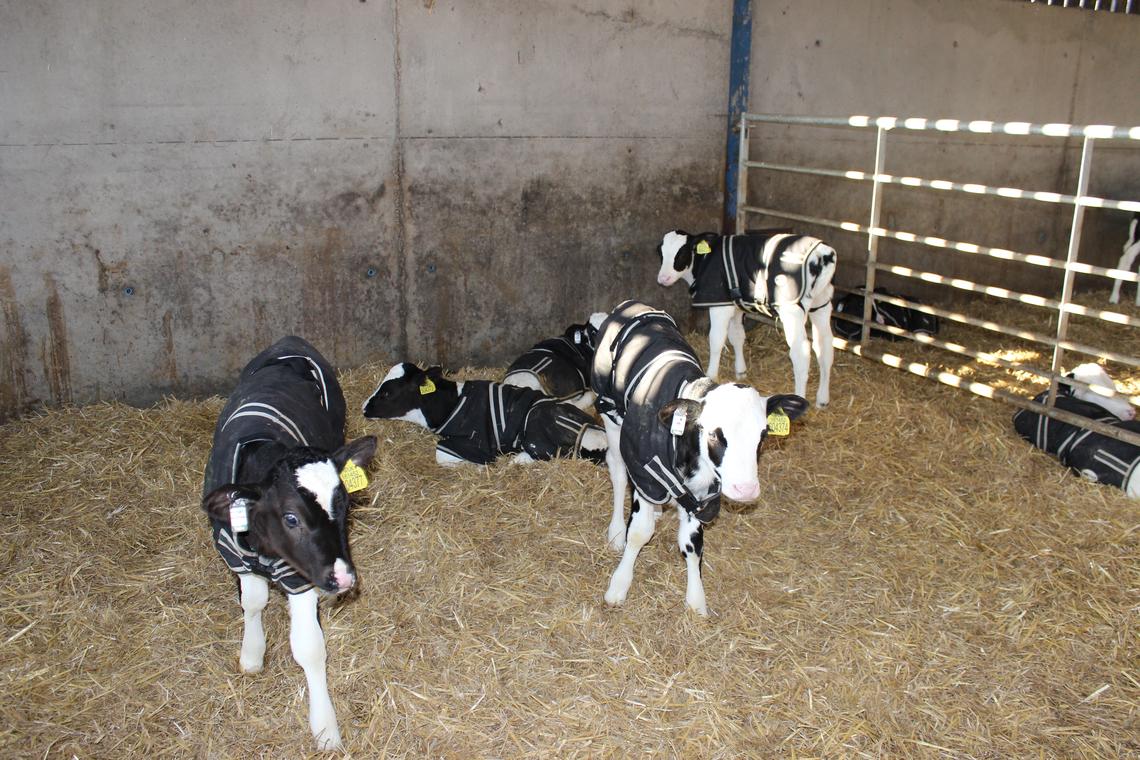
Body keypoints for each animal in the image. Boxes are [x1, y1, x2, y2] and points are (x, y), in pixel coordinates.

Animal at [201, 336, 377, 750]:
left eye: (345, 506)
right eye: (291, 518)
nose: (344, 578)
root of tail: (289, 346)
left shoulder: (300, 577)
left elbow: (309, 646)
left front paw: (325, 727)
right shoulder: (234, 555)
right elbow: (252, 601)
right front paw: (252, 652)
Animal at [362, 362, 607, 466]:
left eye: (386, 393)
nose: (364, 408)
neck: (452, 402)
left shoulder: (475, 443)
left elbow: (442, 455)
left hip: (537, 428)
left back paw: (518, 459)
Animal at [591, 300, 808, 615]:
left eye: (763, 434)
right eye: (714, 433)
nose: (746, 490)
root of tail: (632, 306)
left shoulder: (702, 495)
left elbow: (692, 544)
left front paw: (696, 600)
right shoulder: (645, 473)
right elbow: (640, 532)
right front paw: (619, 584)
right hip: (611, 415)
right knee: (617, 472)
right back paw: (617, 530)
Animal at [657, 230, 837, 408]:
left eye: (682, 253)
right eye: (661, 253)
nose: (662, 279)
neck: (705, 260)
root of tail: (821, 253)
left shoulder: (720, 305)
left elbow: (716, 340)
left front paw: (711, 375)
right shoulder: (734, 304)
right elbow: (736, 336)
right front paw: (741, 371)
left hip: (791, 308)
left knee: (801, 353)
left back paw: (799, 397)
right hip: (821, 303)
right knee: (825, 346)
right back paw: (822, 400)